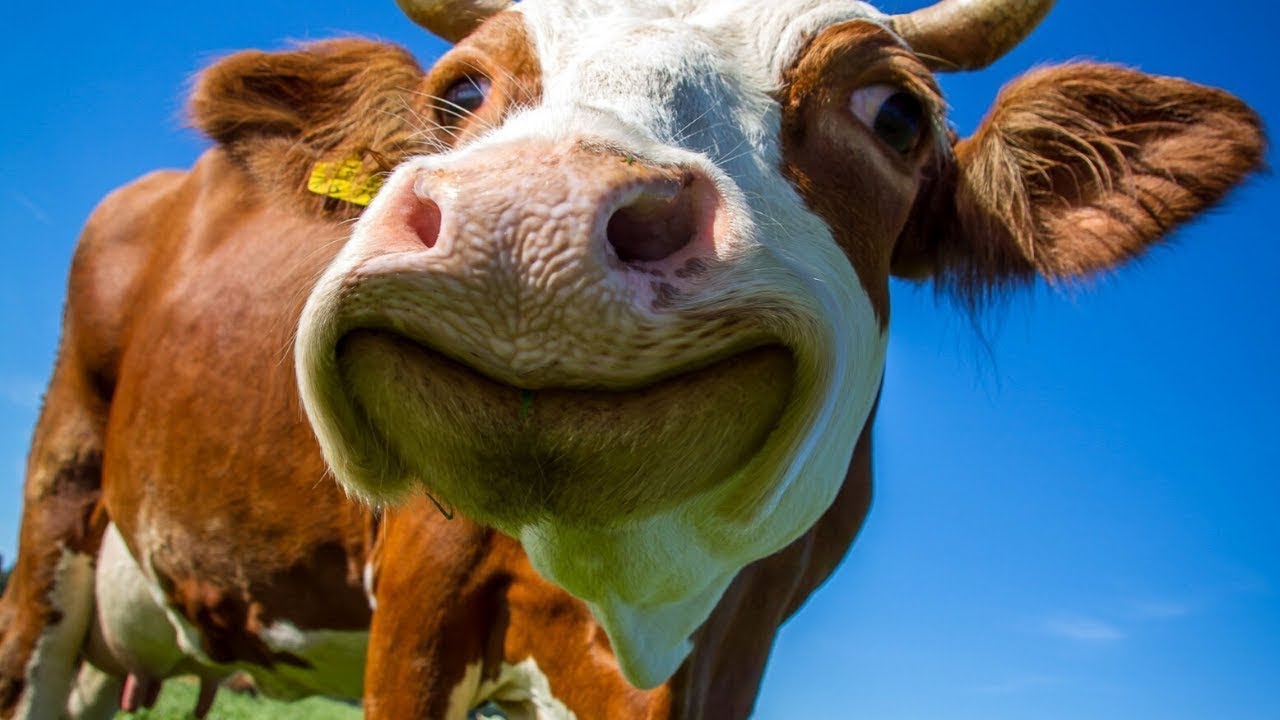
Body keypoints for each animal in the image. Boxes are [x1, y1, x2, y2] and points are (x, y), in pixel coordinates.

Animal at [0, 0, 1265, 718]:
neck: (636, 607)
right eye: (458, 92)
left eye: (895, 115)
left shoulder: (741, 640)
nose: (529, 219)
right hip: (55, 518)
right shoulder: (417, 603)